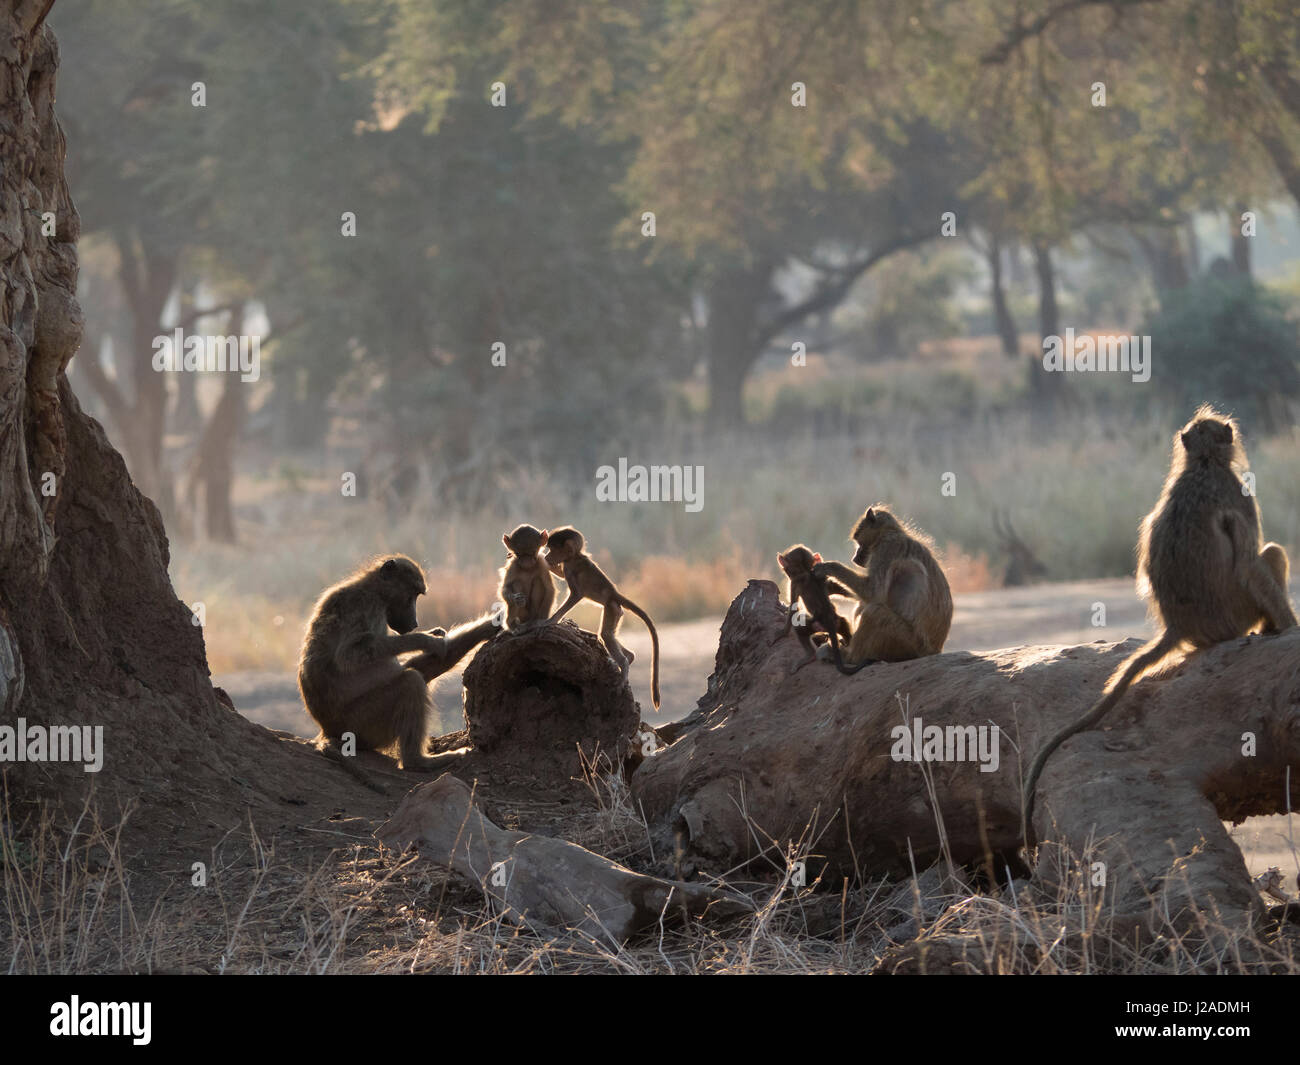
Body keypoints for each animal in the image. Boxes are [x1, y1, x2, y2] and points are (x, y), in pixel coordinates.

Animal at [298, 555, 496, 771]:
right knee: (410, 682)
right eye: (411, 596)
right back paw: (417, 761)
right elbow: (350, 656)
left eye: (417, 595)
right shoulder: (368, 607)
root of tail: (328, 731)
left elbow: (436, 657)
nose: (415, 623)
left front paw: (491, 625)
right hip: (362, 724)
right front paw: (426, 639)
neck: (374, 589)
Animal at [542, 526, 661, 710]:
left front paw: (552, 620)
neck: (575, 557)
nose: (548, 556)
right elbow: (561, 575)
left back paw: (623, 665)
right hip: (616, 611)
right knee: (608, 634)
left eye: (553, 549)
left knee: (605, 634)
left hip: (611, 608)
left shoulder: (571, 570)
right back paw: (628, 658)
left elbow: (576, 595)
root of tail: (614, 594)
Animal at [772, 544, 870, 676]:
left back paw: (809, 656)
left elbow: (793, 607)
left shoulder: (795, 583)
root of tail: (830, 620)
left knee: (800, 629)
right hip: (839, 623)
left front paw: (783, 631)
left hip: (817, 625)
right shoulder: (821, 576)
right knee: (845, 626)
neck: (806, 570)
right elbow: (837, 589)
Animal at [812, 504, 953, 668]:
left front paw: (829, 567)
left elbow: (874, 592)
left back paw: (848, 656)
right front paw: (832, 587)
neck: (889, 533)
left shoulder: (886, 548)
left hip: (907, 643)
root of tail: (934, 650)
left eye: (858, 540)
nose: (854, 557)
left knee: (874, 612)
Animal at [1022, 406, 1298, 838]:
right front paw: (1289, 626)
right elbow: (1250, 563)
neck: (1202, 463)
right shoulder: (1239, 495)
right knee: (1269, 554)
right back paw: (1268, 626)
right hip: (1236, 615)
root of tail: (1179, 626)